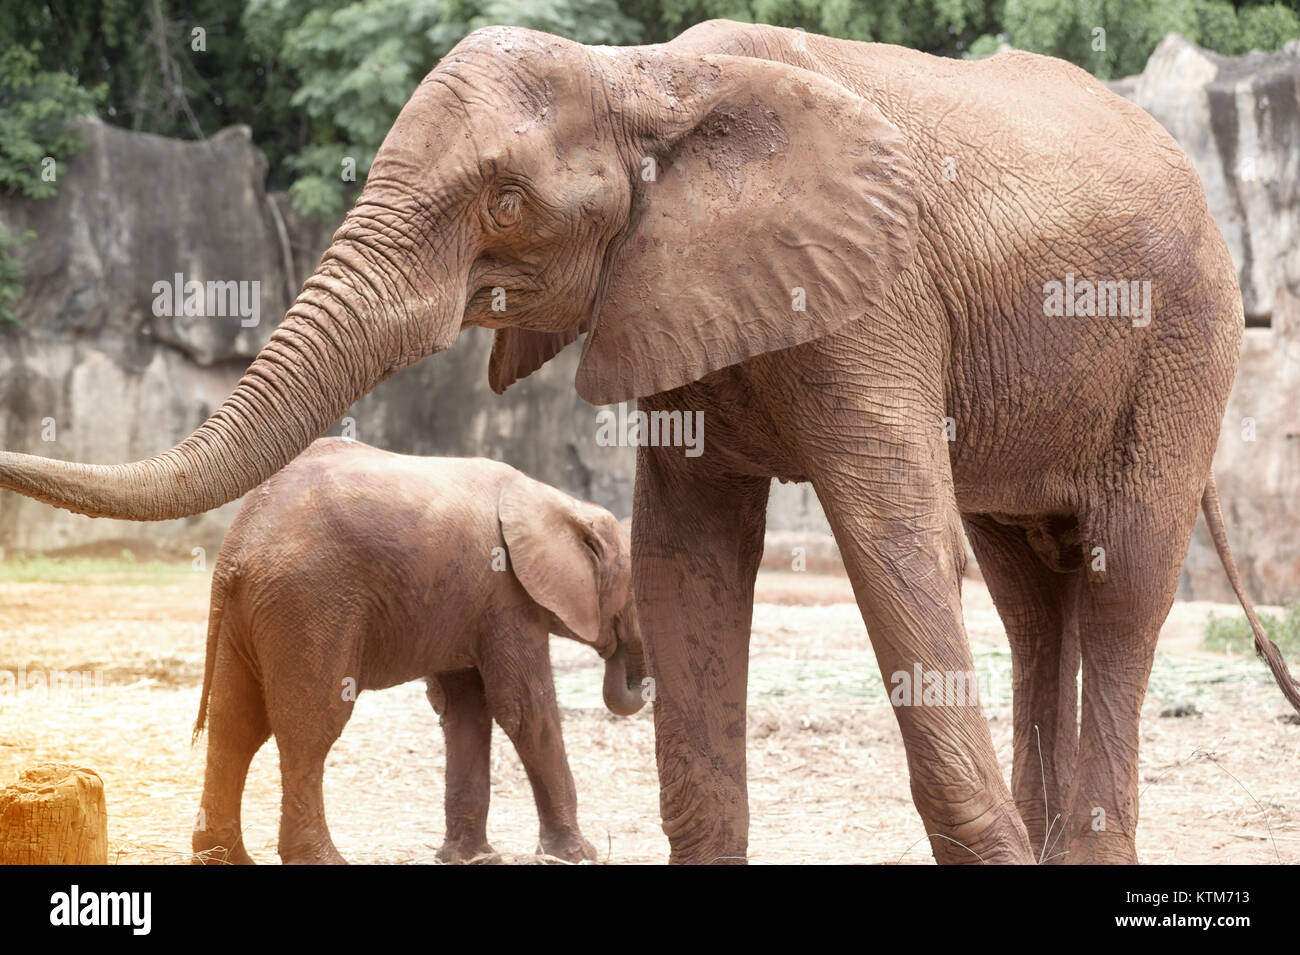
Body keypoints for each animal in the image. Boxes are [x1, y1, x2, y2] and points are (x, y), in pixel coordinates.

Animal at [190, 438, 646, 865]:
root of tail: (238, 547)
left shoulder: (469, 601)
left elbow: (465, 711)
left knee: (234, 724)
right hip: (310, 600)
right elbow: (525, 710)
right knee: (310, 726)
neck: (560, 501)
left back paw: (226, 857)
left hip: (252, 610)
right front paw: (582, 854)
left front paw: (471, 858)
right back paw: (321, 858)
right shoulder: (507, 596)